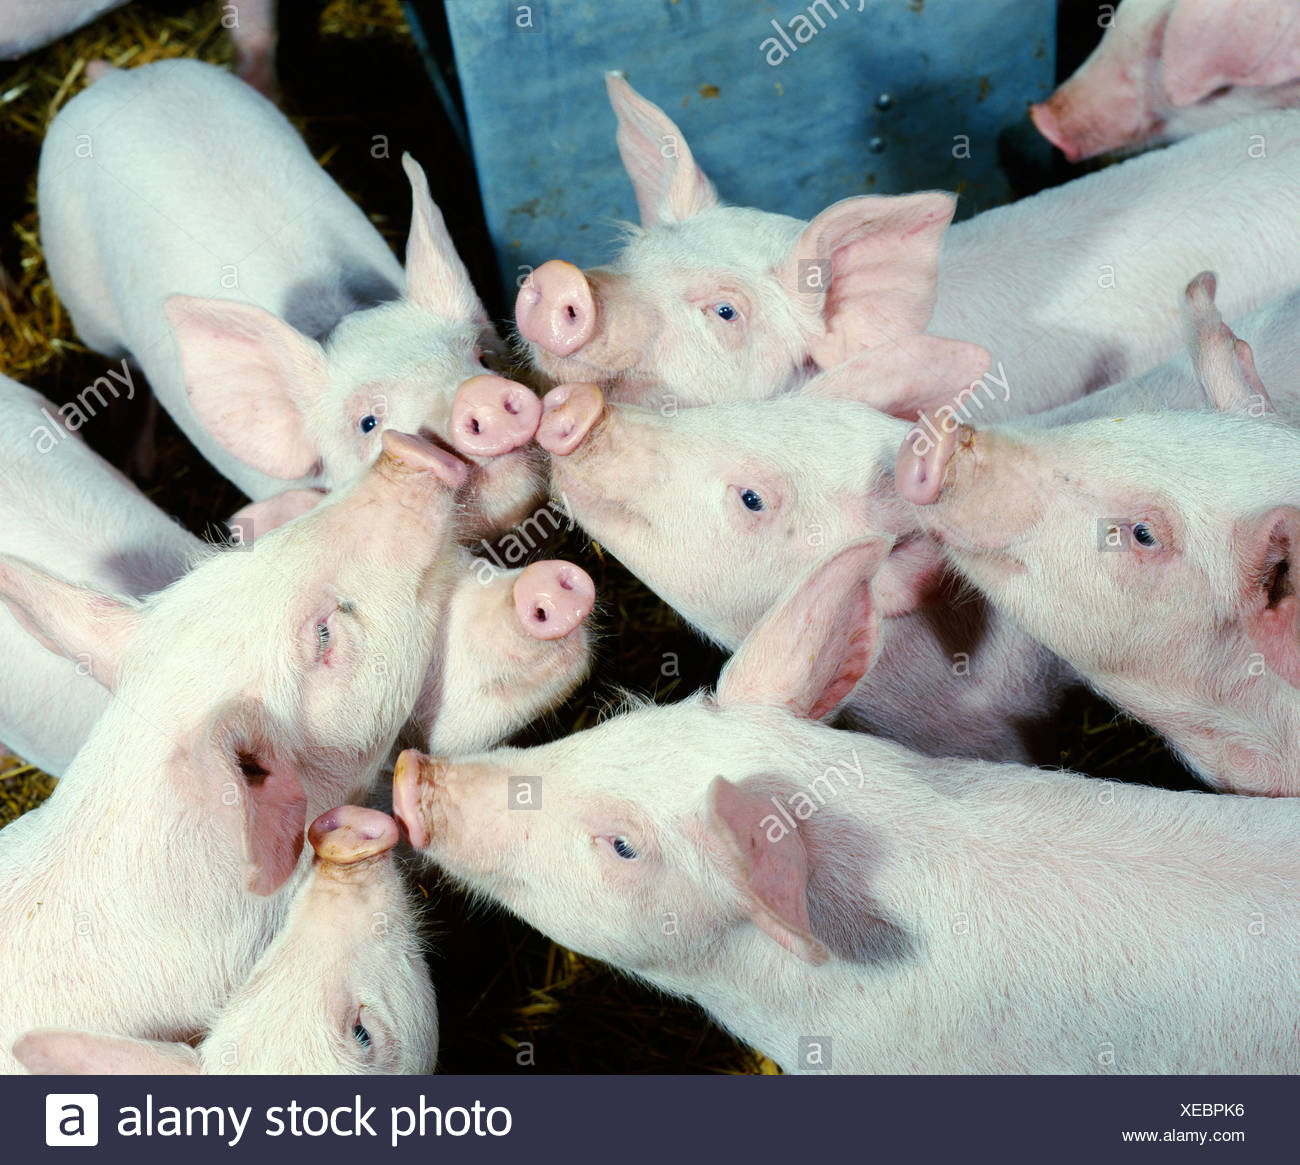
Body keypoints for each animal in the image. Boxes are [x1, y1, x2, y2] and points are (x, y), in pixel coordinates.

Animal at [39, 58, 541, 538]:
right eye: (367, 423)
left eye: (485, 359)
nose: (479, 393)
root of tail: (120, 76)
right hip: (78, 285)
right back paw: (139, 463)